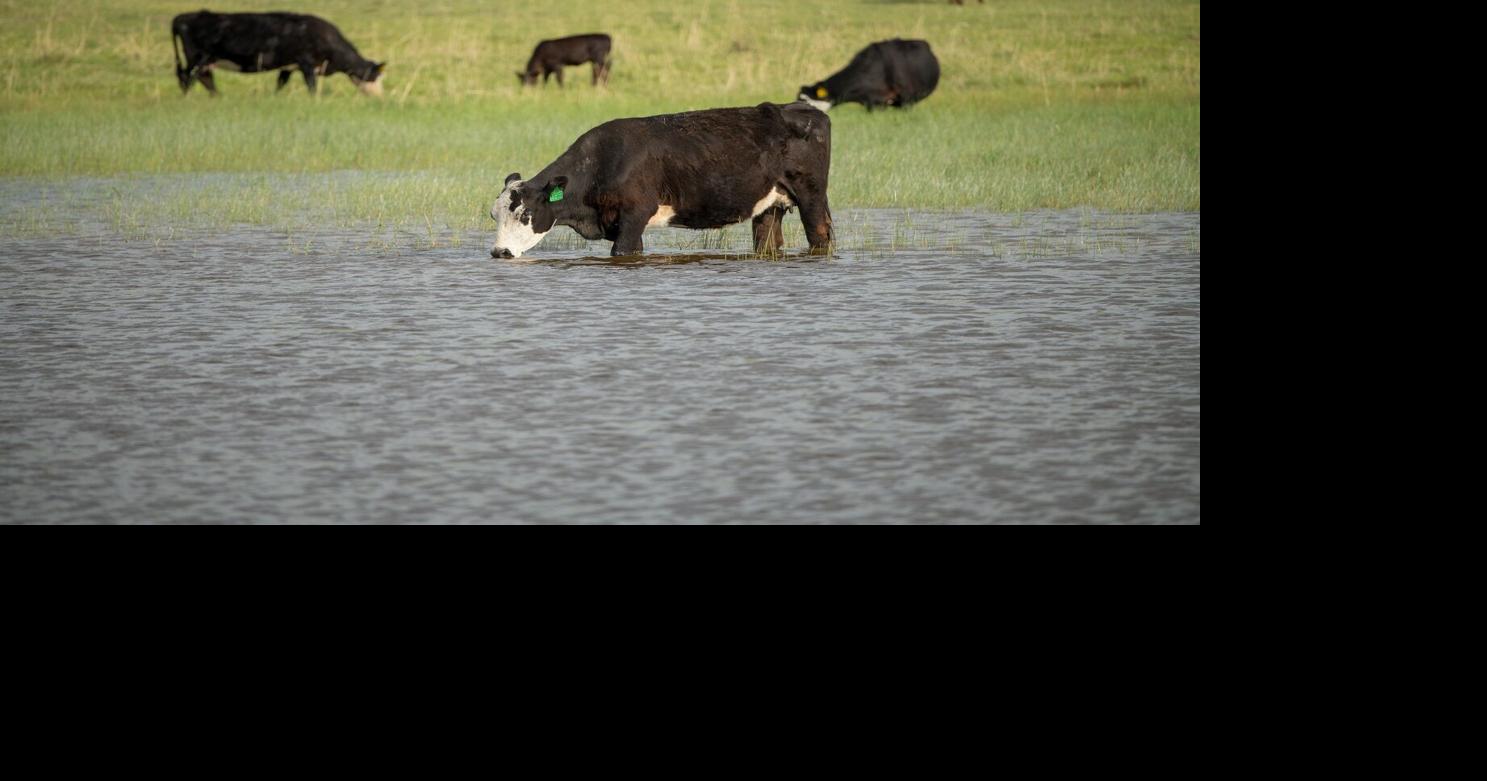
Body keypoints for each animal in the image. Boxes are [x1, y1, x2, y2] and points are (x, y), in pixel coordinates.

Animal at [171, 10, 385, 96]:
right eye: (375, 76)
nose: (380, 98)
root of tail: (183, 17)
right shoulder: (306, 64)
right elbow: (311, 86)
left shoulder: (288, 67)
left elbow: (280, 84)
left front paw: (275, 97)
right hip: (198, 58)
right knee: (189, 78)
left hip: (204, 61)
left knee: (204, 78)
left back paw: (218, 97)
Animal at [489, 103, 834, 259]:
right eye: (494, 214)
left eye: (524, 213)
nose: (499, 252)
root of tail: (800, 108)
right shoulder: (622, 223)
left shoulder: (635, 213)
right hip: (770, 204)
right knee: (768, 241)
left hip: (811, 196)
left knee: (819, 236)